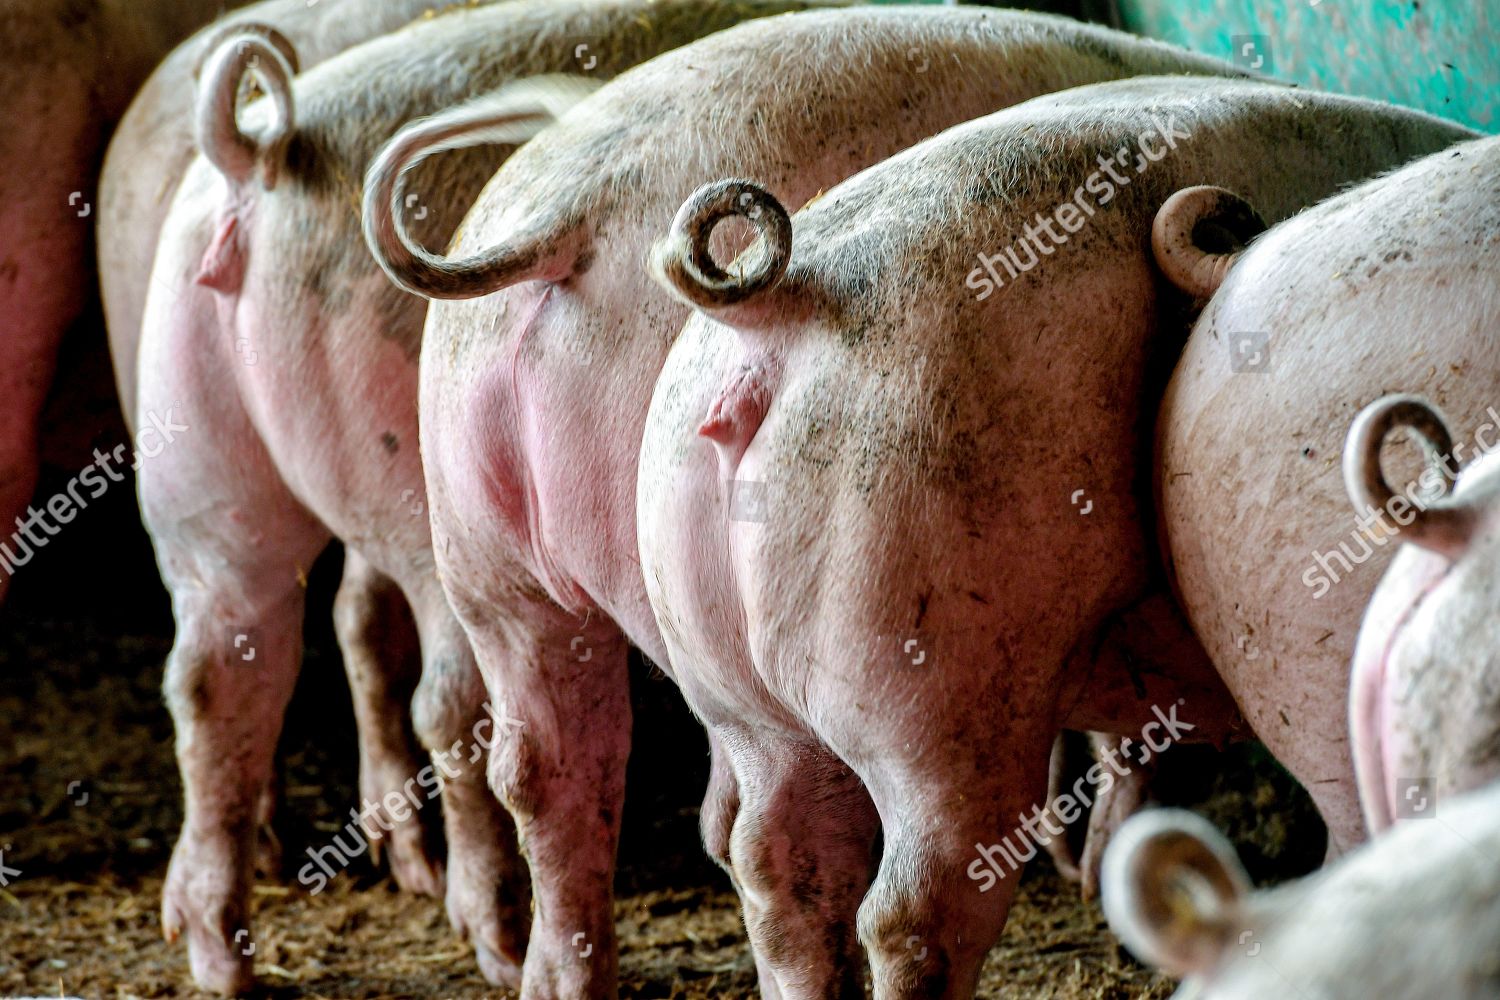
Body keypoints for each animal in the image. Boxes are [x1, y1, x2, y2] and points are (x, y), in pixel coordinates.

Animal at [128, 1, 822, 993]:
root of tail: (251, 155)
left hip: (205, 463)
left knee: (223, 667)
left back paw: (224, 952)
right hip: (449, 508)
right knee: (459, 705)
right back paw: (486, 933)